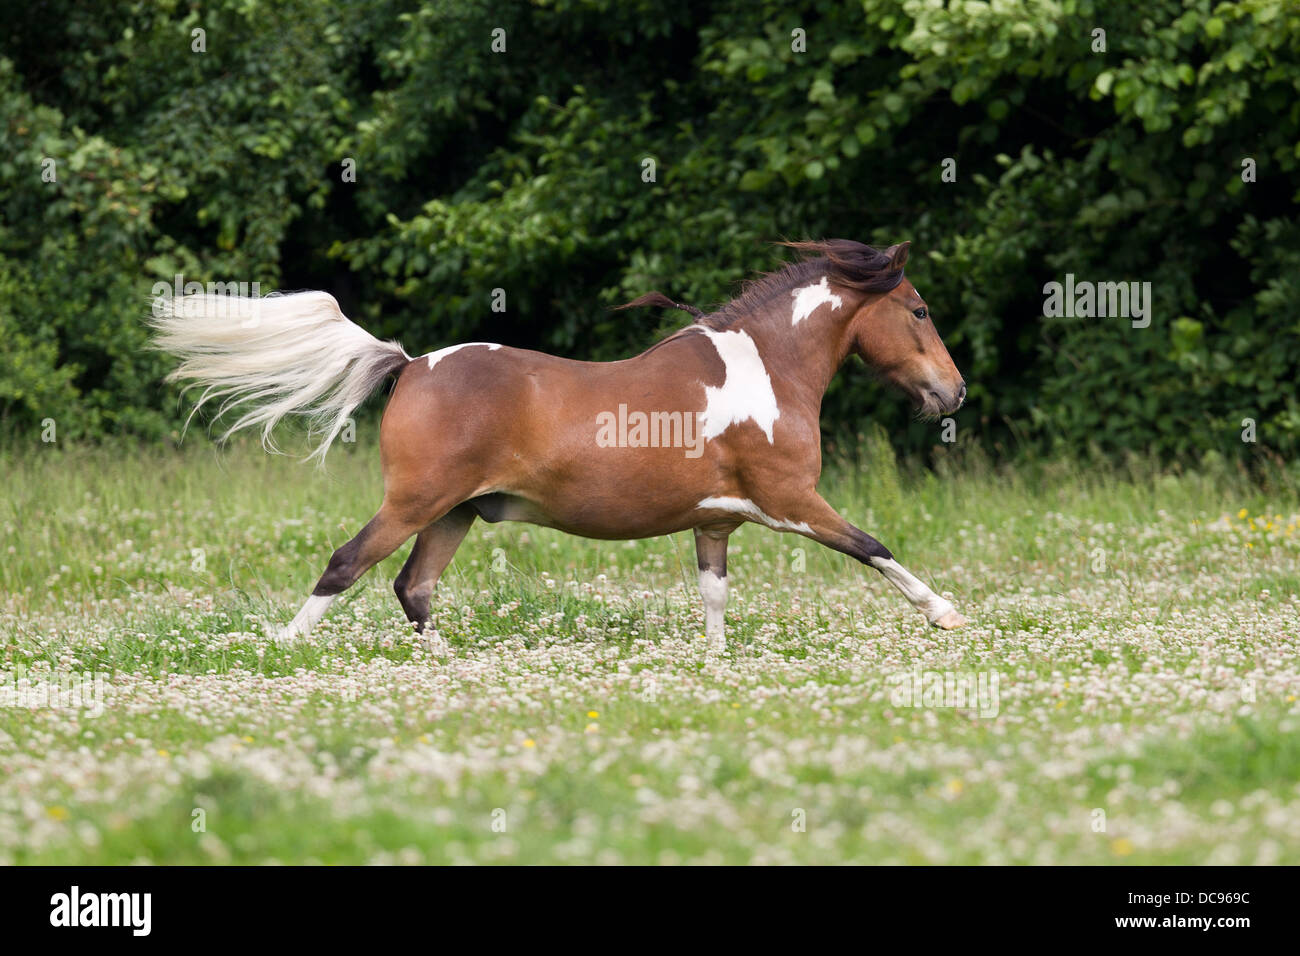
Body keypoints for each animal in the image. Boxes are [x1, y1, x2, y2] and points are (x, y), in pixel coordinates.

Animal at [148, 238, 968, 647]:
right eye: (920, 310)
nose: (953, 394)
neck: (766, 369)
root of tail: (410, 363)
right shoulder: (793, 501)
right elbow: (874, 547)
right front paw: (947, 613)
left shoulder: (716, 522)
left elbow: (713, 597)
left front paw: (714, 662)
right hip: (415, 503)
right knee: (346, 565)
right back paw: (283, 647)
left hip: (455, 513)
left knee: (412, 587)